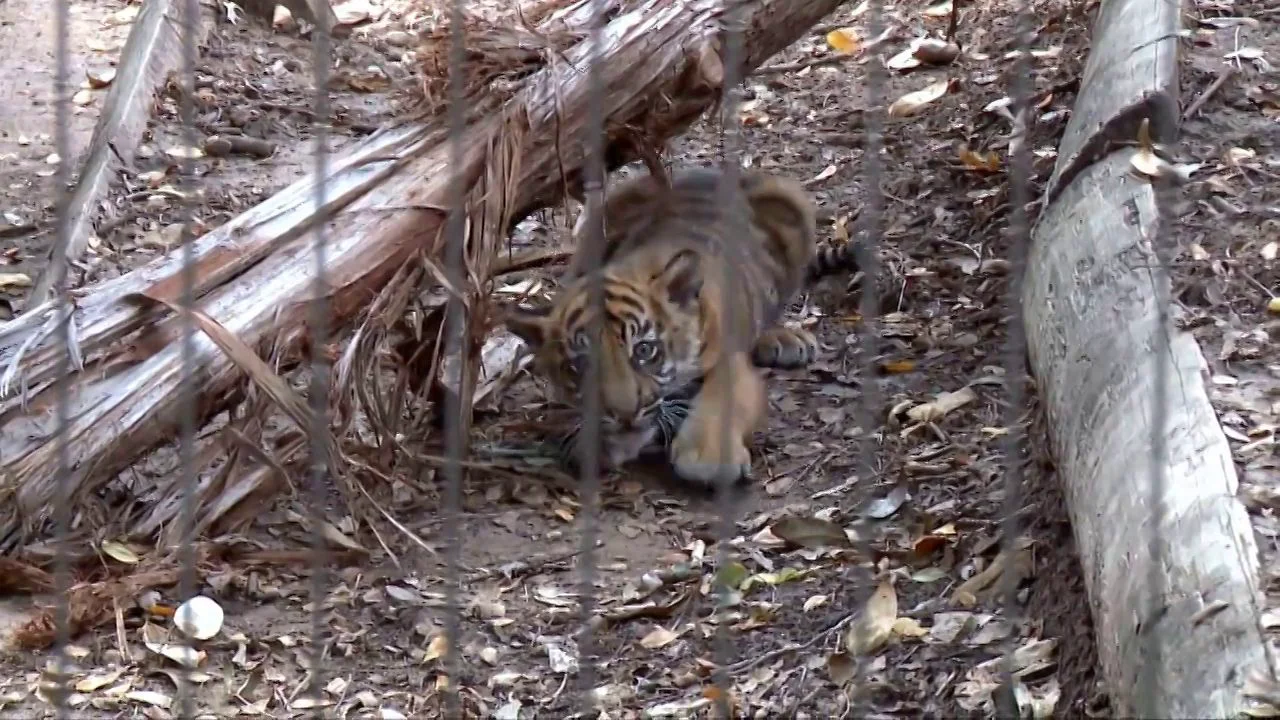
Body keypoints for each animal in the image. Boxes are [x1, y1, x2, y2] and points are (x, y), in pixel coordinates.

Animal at [503, 166, 862, 488]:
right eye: (580, 365)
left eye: (644, 350)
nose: (625, 414)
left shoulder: (729, 357)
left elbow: (724, 394)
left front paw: (708, 457)